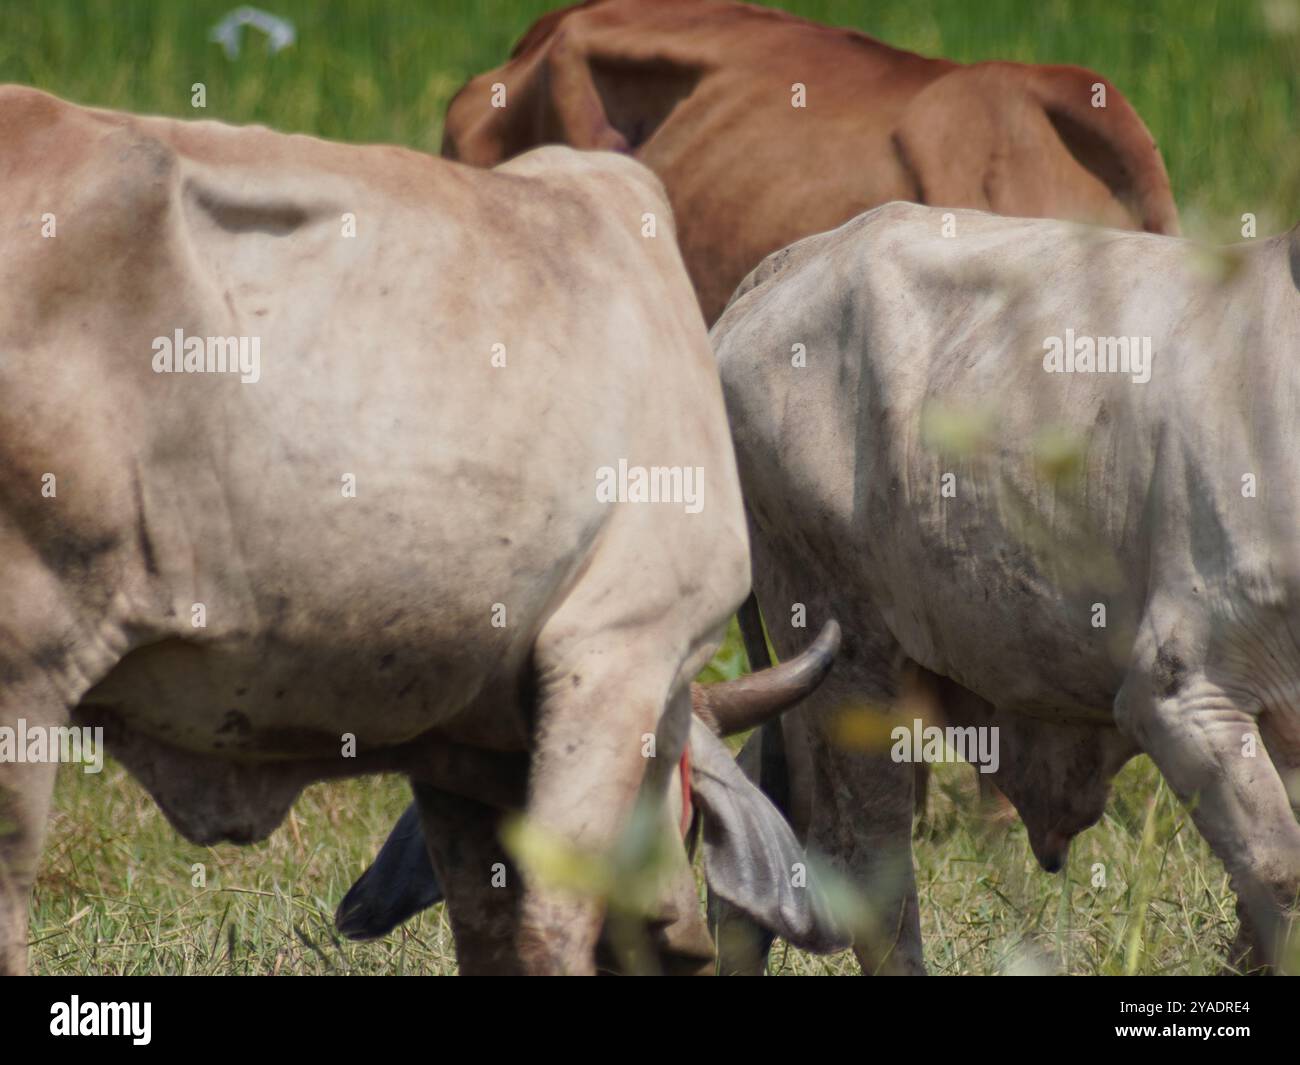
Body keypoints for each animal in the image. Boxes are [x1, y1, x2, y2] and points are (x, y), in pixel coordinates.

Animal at [0, 85, 849, 975]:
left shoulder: (467, 742)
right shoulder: (621, 645)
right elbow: (552, 922)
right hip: (25, 672)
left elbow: (488, 931)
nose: (684, 940)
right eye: (687, 819)